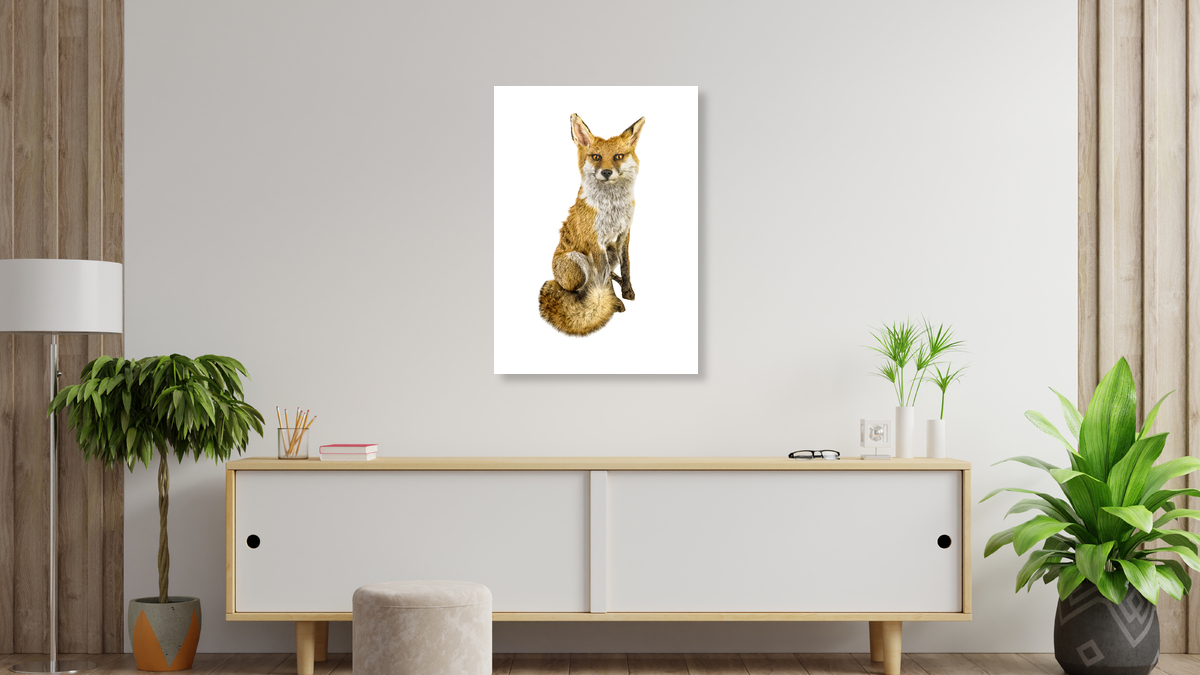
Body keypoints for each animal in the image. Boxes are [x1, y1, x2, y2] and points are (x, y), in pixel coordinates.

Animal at [538, 113, 645, 336]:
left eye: (618, 157)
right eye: (596, 157)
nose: (606, 172)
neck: (613, 207)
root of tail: (555, 276)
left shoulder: (624, 233)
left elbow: (627, 266)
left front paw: (627, 290)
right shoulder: (596, 241)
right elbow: (604, 281)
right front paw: (614, 302)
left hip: (611, 252)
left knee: (608, 272)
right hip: (578, 260)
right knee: (586, 285)